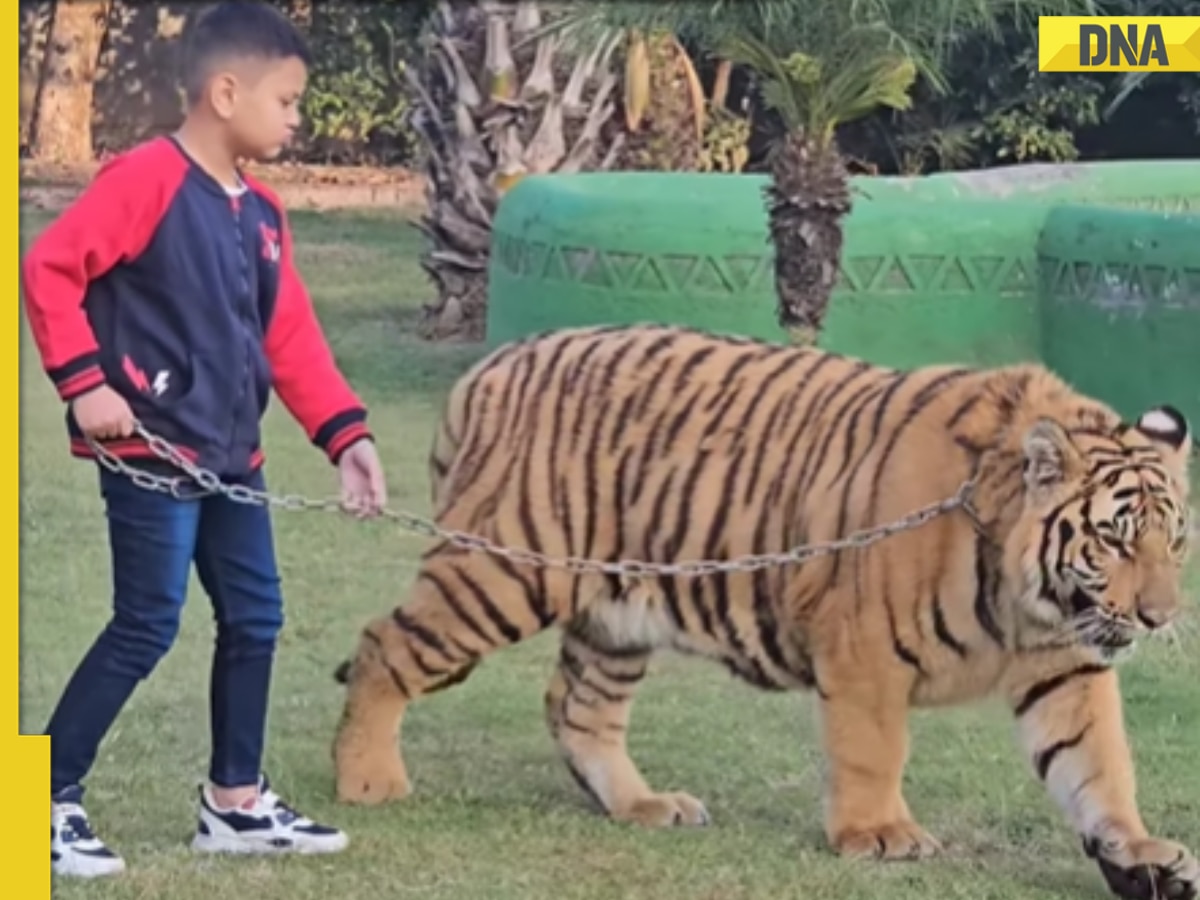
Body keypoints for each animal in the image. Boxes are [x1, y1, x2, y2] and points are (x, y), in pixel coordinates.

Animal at [330, 323, 1196, 900]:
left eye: (1175, 540)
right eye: (1115, 540)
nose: (1160, 617)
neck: (1028, 602)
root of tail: (491, 365)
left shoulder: (1068, 666)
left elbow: (1099, 764)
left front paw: (1141, 851)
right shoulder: (865, 650)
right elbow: (874, 749)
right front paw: (879, 834)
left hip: (615, 616)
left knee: (578, 708)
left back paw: (644, 805)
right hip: (503, 573)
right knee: (383, 645)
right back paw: (367, 780)